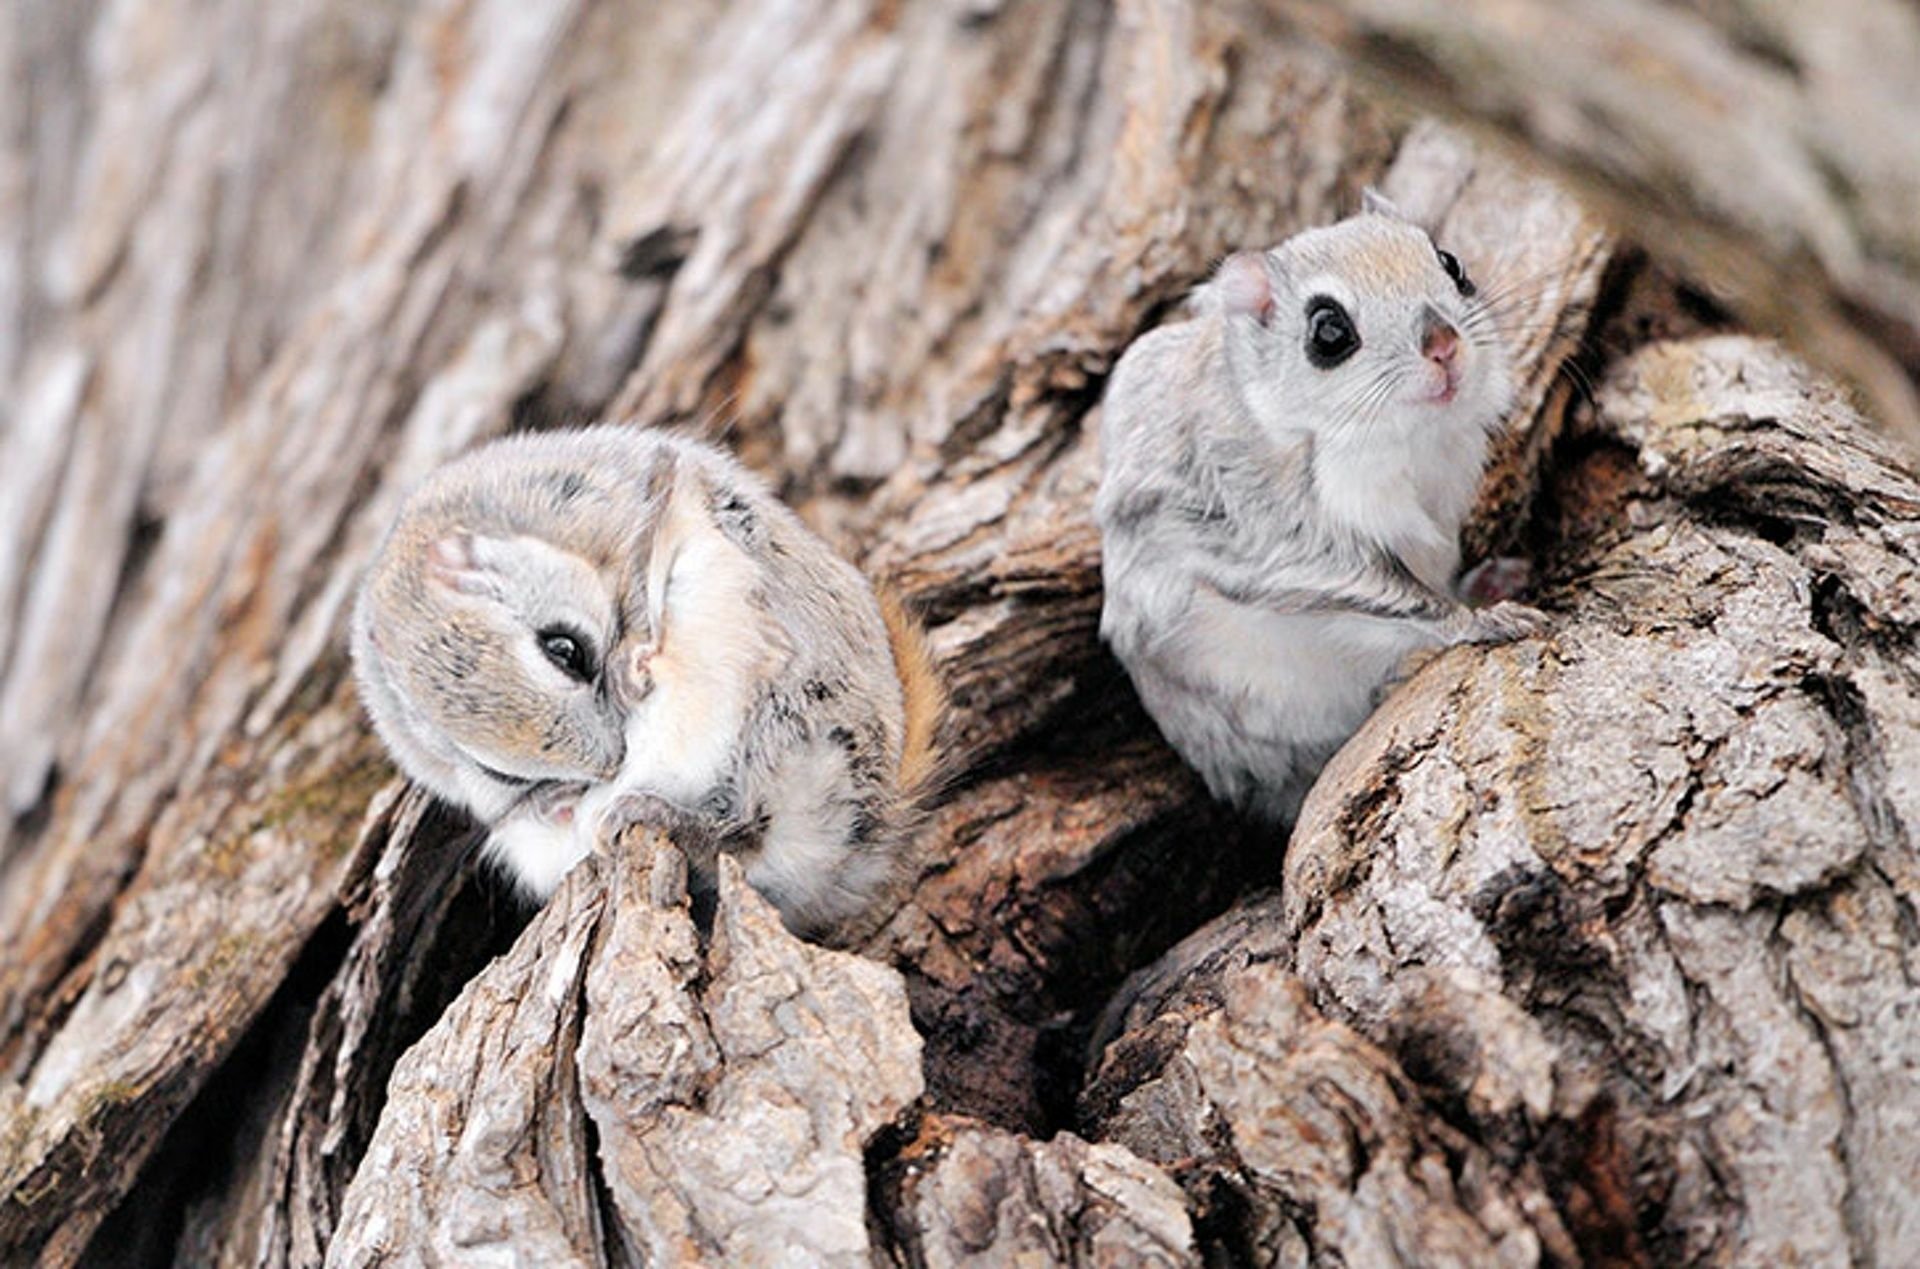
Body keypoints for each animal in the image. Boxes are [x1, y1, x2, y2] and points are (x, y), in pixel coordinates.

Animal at [351, 426, 943, 940]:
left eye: (565, 649)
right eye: (500, 773)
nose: (610, 763)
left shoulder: (619, 504)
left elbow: (645, 564)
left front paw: (632, 665)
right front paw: (555, 799)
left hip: (786, 724)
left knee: (747, 827)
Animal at [1093, 192, 1547, 824]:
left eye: (1451, 263)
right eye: (1329, 331)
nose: (1443, 344)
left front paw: (1480, 589)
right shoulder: (1264, 524)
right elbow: (1387, 589)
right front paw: (1478, 621)